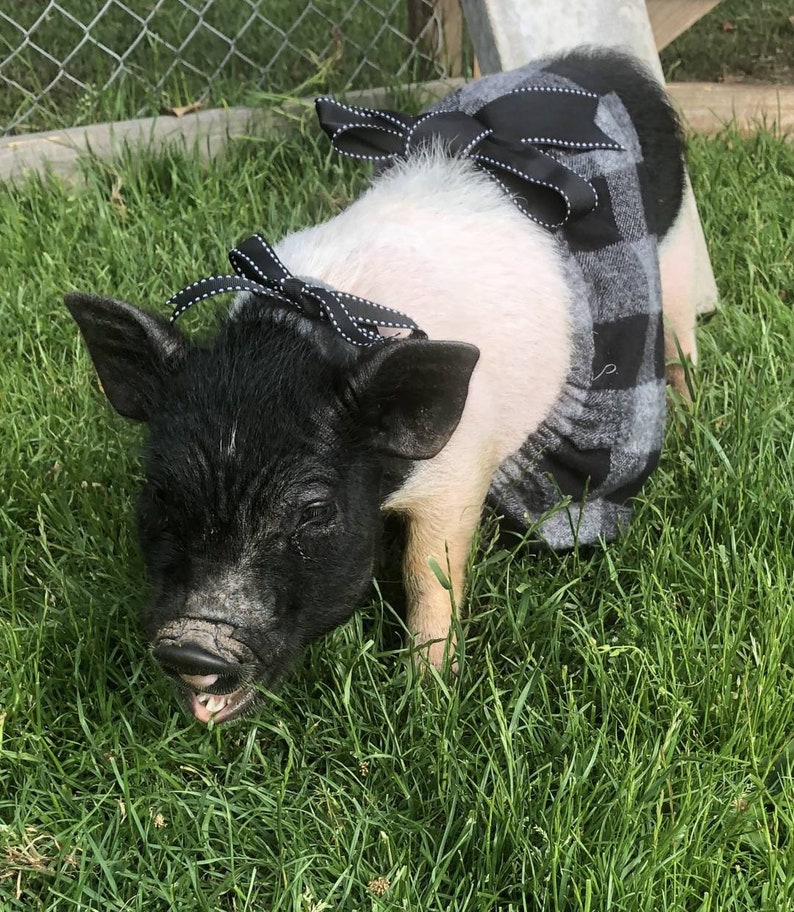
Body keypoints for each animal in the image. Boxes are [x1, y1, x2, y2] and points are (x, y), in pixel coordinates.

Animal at [65, 49, 697, 724]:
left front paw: (427, 695)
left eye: (315, 511)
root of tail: (597, 61)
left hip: (675, 247)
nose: (191, 645)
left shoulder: (461, 470)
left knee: (681, 330)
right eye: (159, 490)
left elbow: (431, 572)